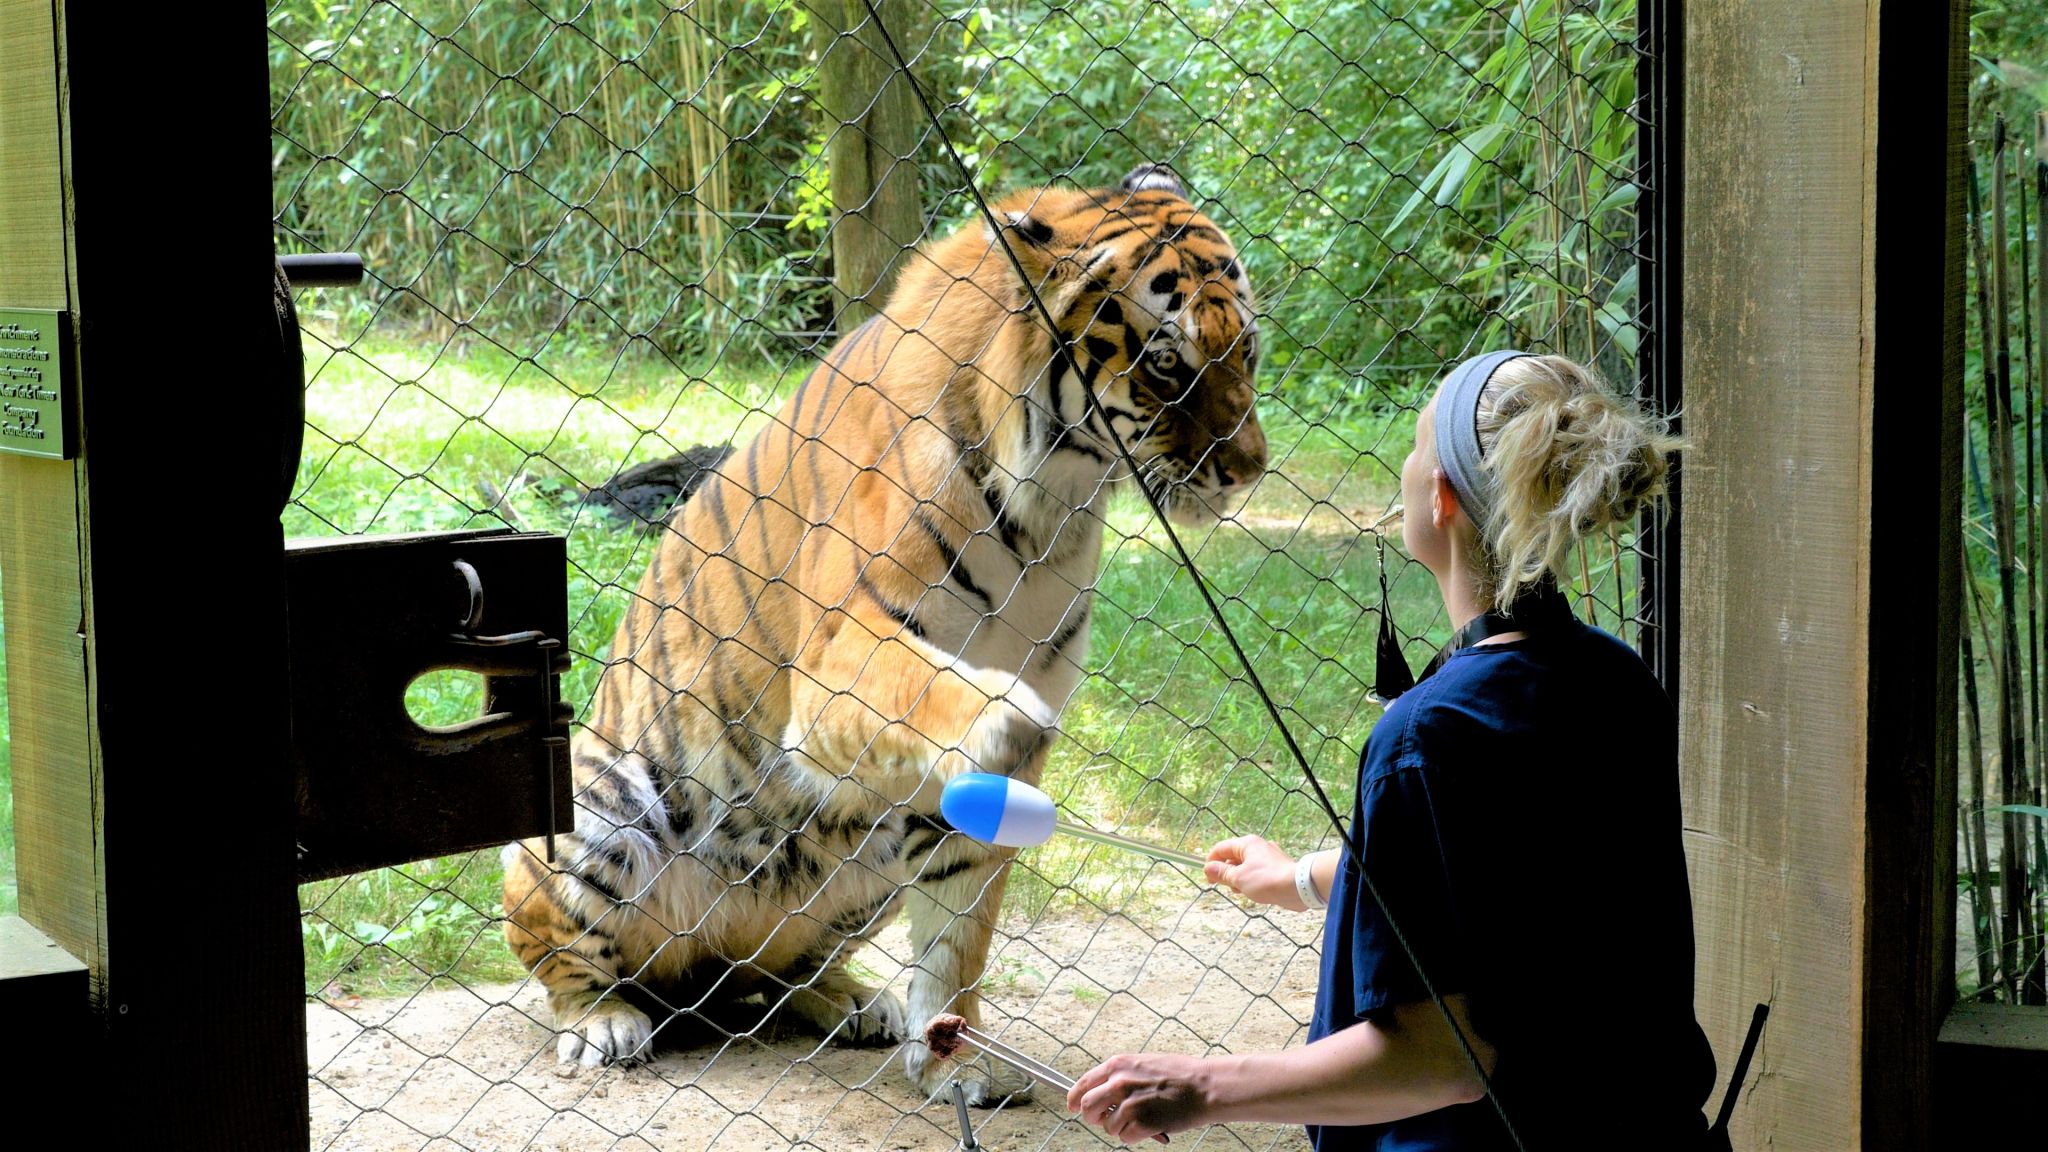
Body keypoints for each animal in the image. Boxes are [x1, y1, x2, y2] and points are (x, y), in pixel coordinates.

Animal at [502, 163, 1266, 1103]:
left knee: (778, 971)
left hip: (859, 870)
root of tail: (702, 964)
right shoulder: (840, 651)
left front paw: (954, 1057)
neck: (1054, 501)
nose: (1251, 469)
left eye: (1247, 350)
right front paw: (1007, 721)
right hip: (597, 801)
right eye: (1165, 364)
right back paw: (603, 1023)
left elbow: (961, 928)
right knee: (568, 958)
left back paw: (855, 1003)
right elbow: (931, 686)